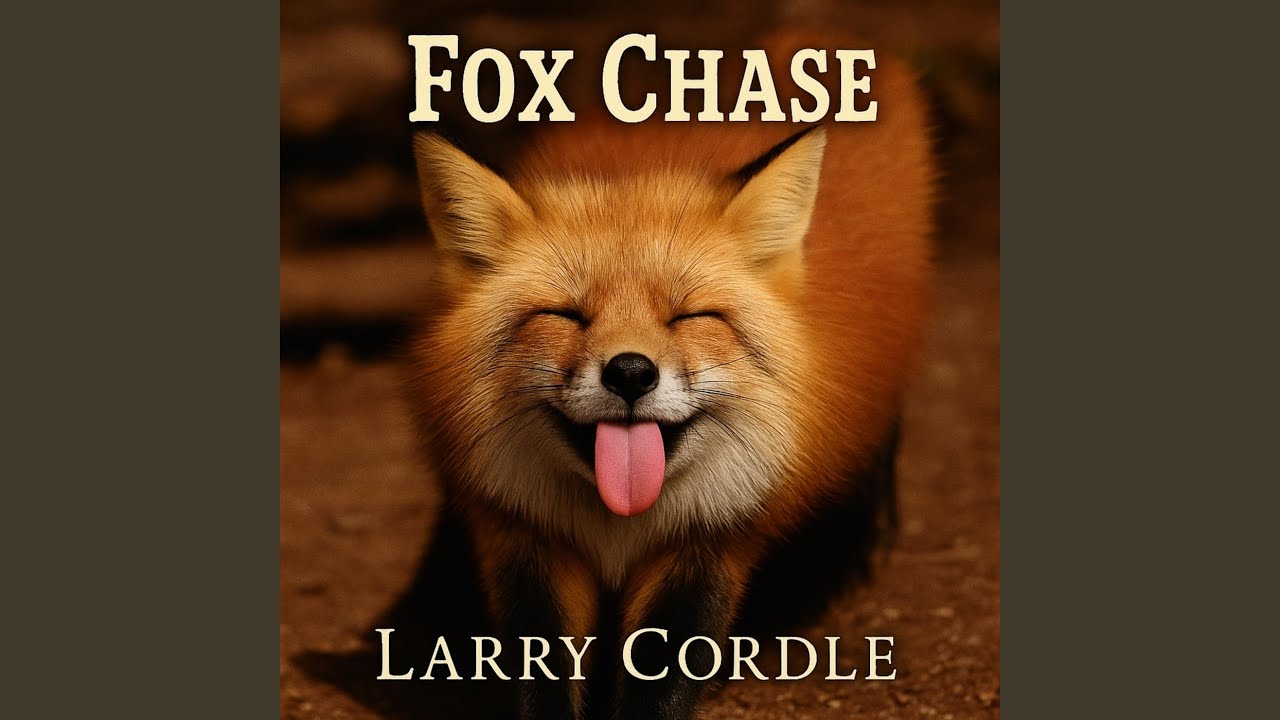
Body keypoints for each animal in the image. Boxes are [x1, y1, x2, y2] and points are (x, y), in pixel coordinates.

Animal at [402, 32, 934, 720]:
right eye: (566, 315)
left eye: (687, 317)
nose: (630, 371)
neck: (620, 524)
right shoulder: (526, 539)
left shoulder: (710, 542)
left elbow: (665, 668)